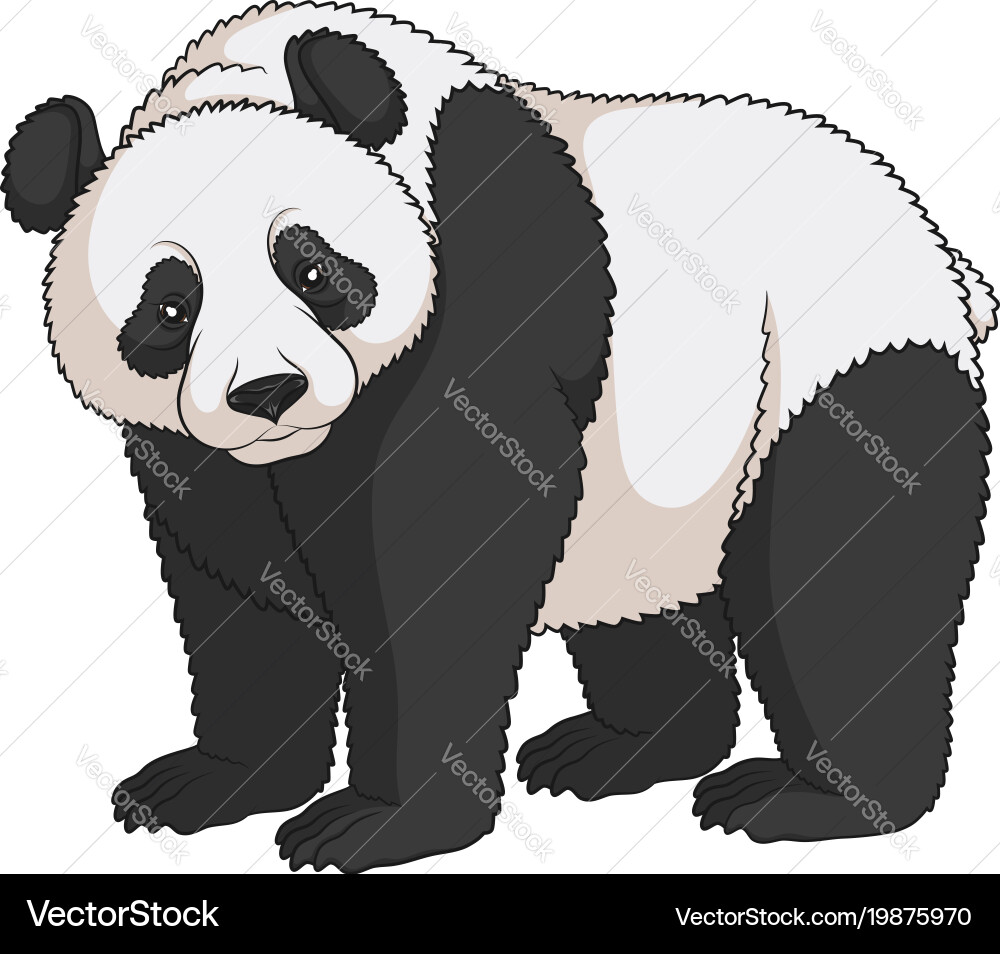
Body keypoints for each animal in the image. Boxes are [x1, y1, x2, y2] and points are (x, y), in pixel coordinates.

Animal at [2, 0, 995, 873]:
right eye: (170, 308)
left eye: (312, 268)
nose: (271, 392)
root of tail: (943, 253)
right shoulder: (196, 451)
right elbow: (237, 581)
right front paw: (213, 785)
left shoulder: (484, 274)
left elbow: (441, 561)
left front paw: (379, 824)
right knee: (646, 596)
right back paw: (623, 752)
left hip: (827, 360)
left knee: (845, 570)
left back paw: (812, 801)